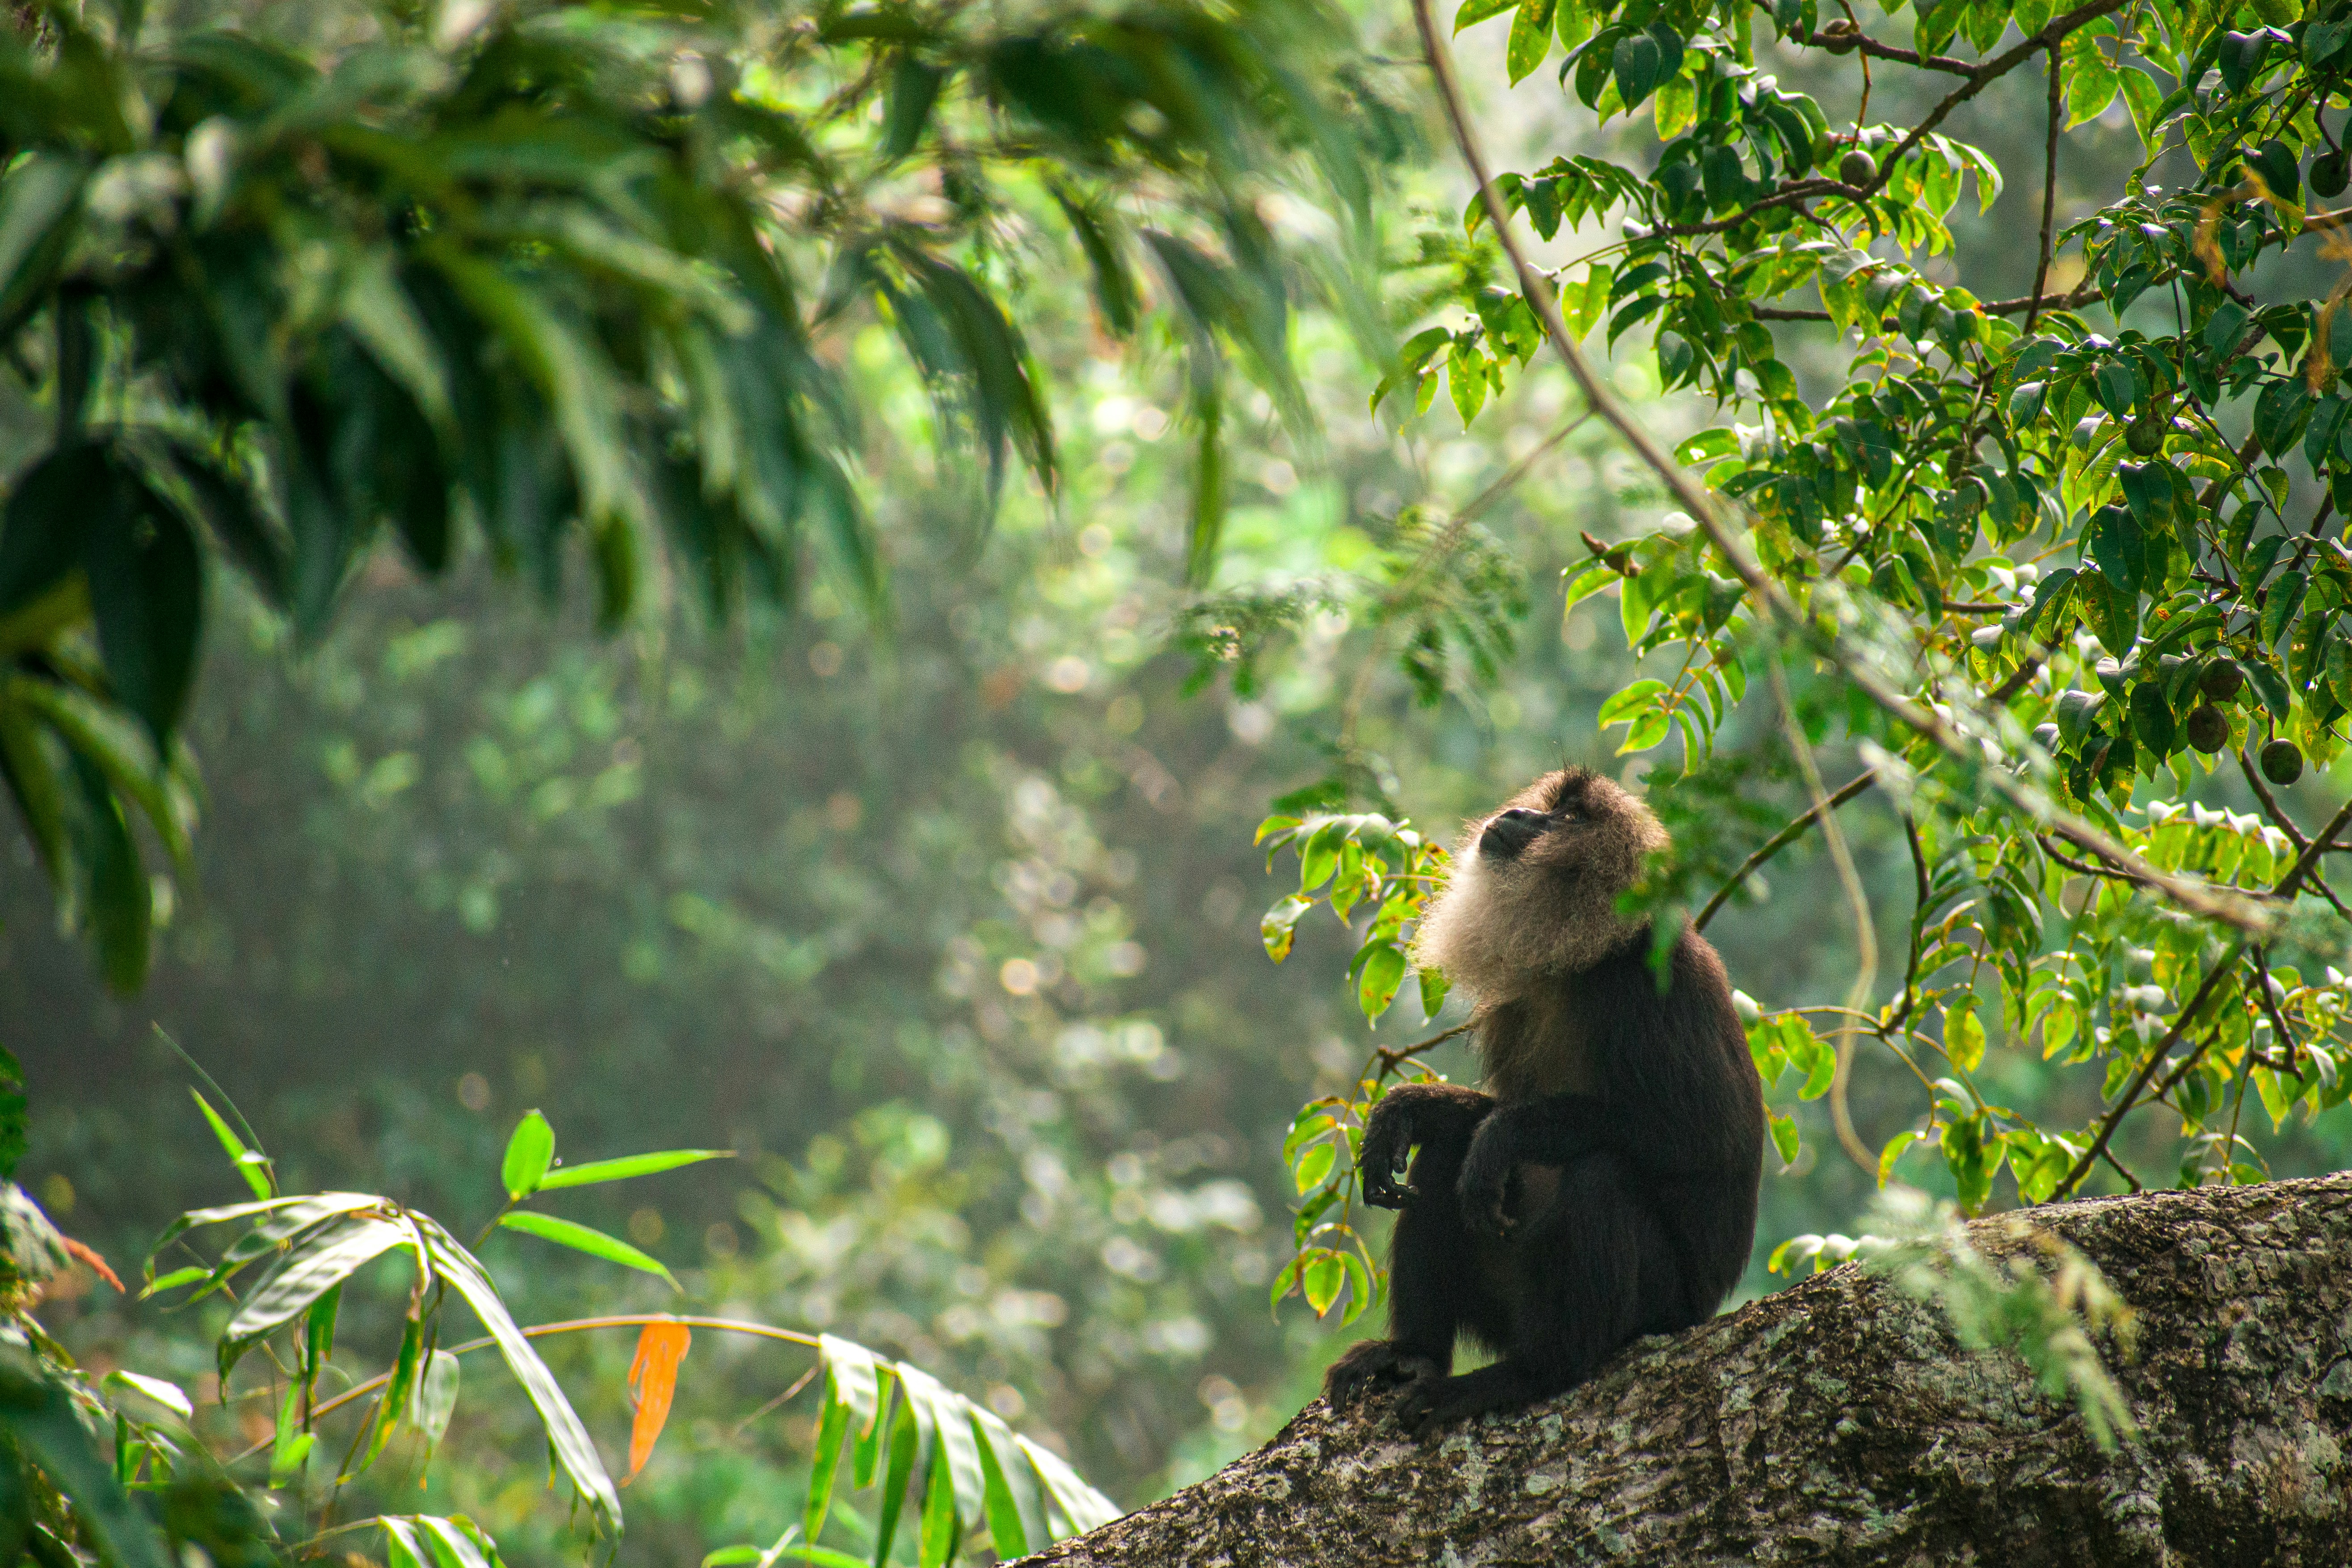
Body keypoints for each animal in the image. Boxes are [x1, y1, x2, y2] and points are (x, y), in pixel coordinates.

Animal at [1321, 766, 1764, 1432]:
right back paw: (1412, 1353)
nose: (1518, 816)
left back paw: (1536, 1372)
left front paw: (1506, 1135)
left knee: (1600, 1175)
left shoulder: (1650, 980)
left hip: (1658, 1309)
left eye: (1569, 820)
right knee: (1448, 1158)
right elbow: (1480, 1120)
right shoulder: (1520, 1003)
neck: (1579, 963)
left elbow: (1703, 1137)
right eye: (1551, 806)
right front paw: (1411, 1109)